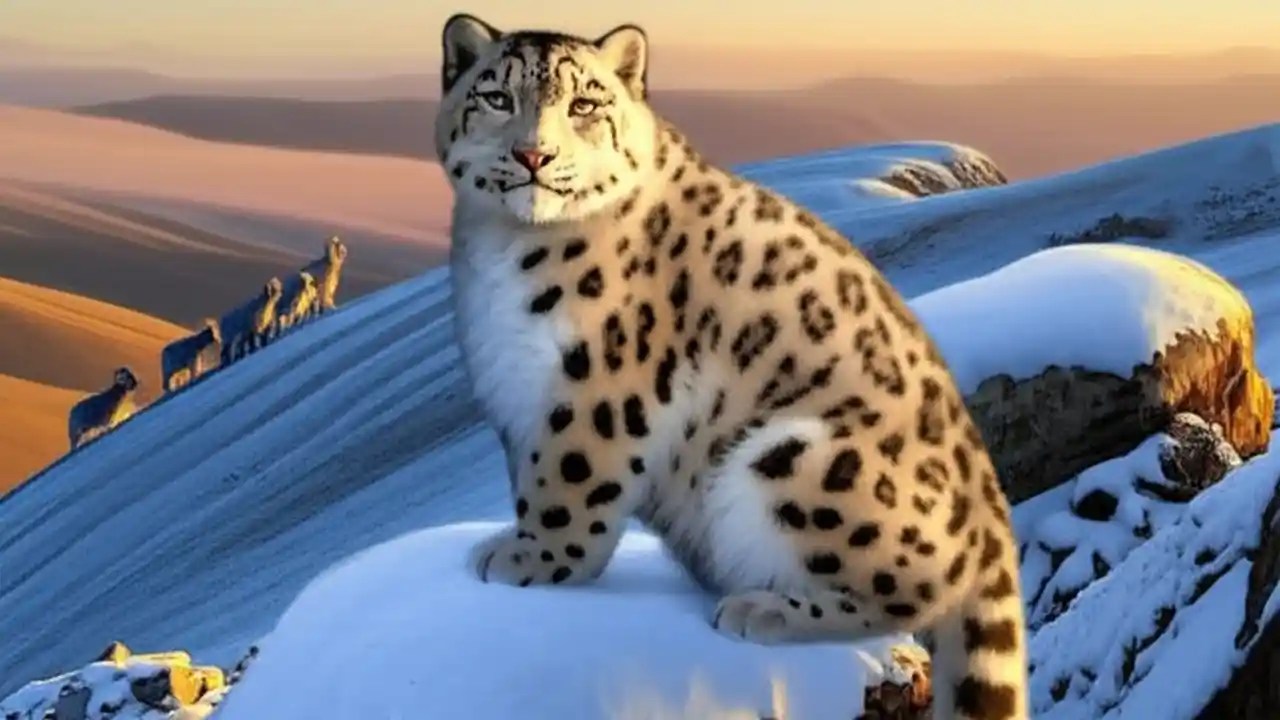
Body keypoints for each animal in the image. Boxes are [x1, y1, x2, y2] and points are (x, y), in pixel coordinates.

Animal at [435, 13, 1028, 720]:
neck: (505, 249)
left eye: (585, 105)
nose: (535, 156)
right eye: (497, 97)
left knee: (914, 596)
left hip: (801, 457)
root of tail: (990, 506)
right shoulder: (515, 389)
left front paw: (530, 559)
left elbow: (568, 482)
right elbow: (530, 478)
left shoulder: (597, 383)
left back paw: (763, 608)